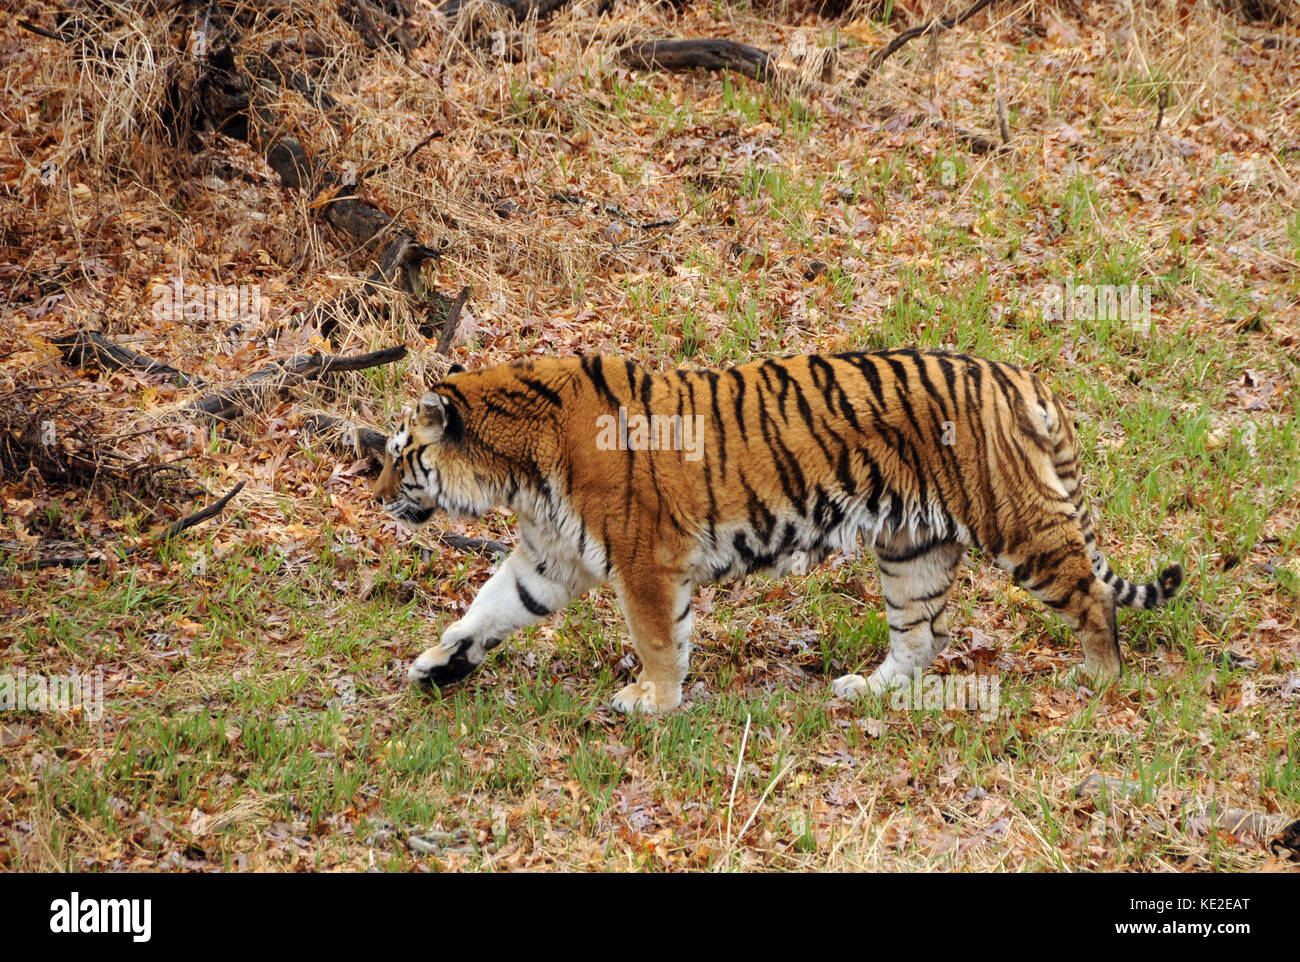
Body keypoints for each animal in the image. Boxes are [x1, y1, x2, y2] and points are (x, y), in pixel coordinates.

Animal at [374, 349, 1183, 714]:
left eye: (400, 455)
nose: (375, 494)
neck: (517, 467)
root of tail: (1023, 378)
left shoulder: (645, 560)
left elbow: (657, 640)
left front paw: (653, 702)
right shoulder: (548, 561)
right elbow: (488, 610)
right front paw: (436, 665)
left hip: (1017, 524)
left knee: (1089, 595)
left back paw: (1097, 679)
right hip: (911, 549)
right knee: (919, 640)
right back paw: (865, 689)